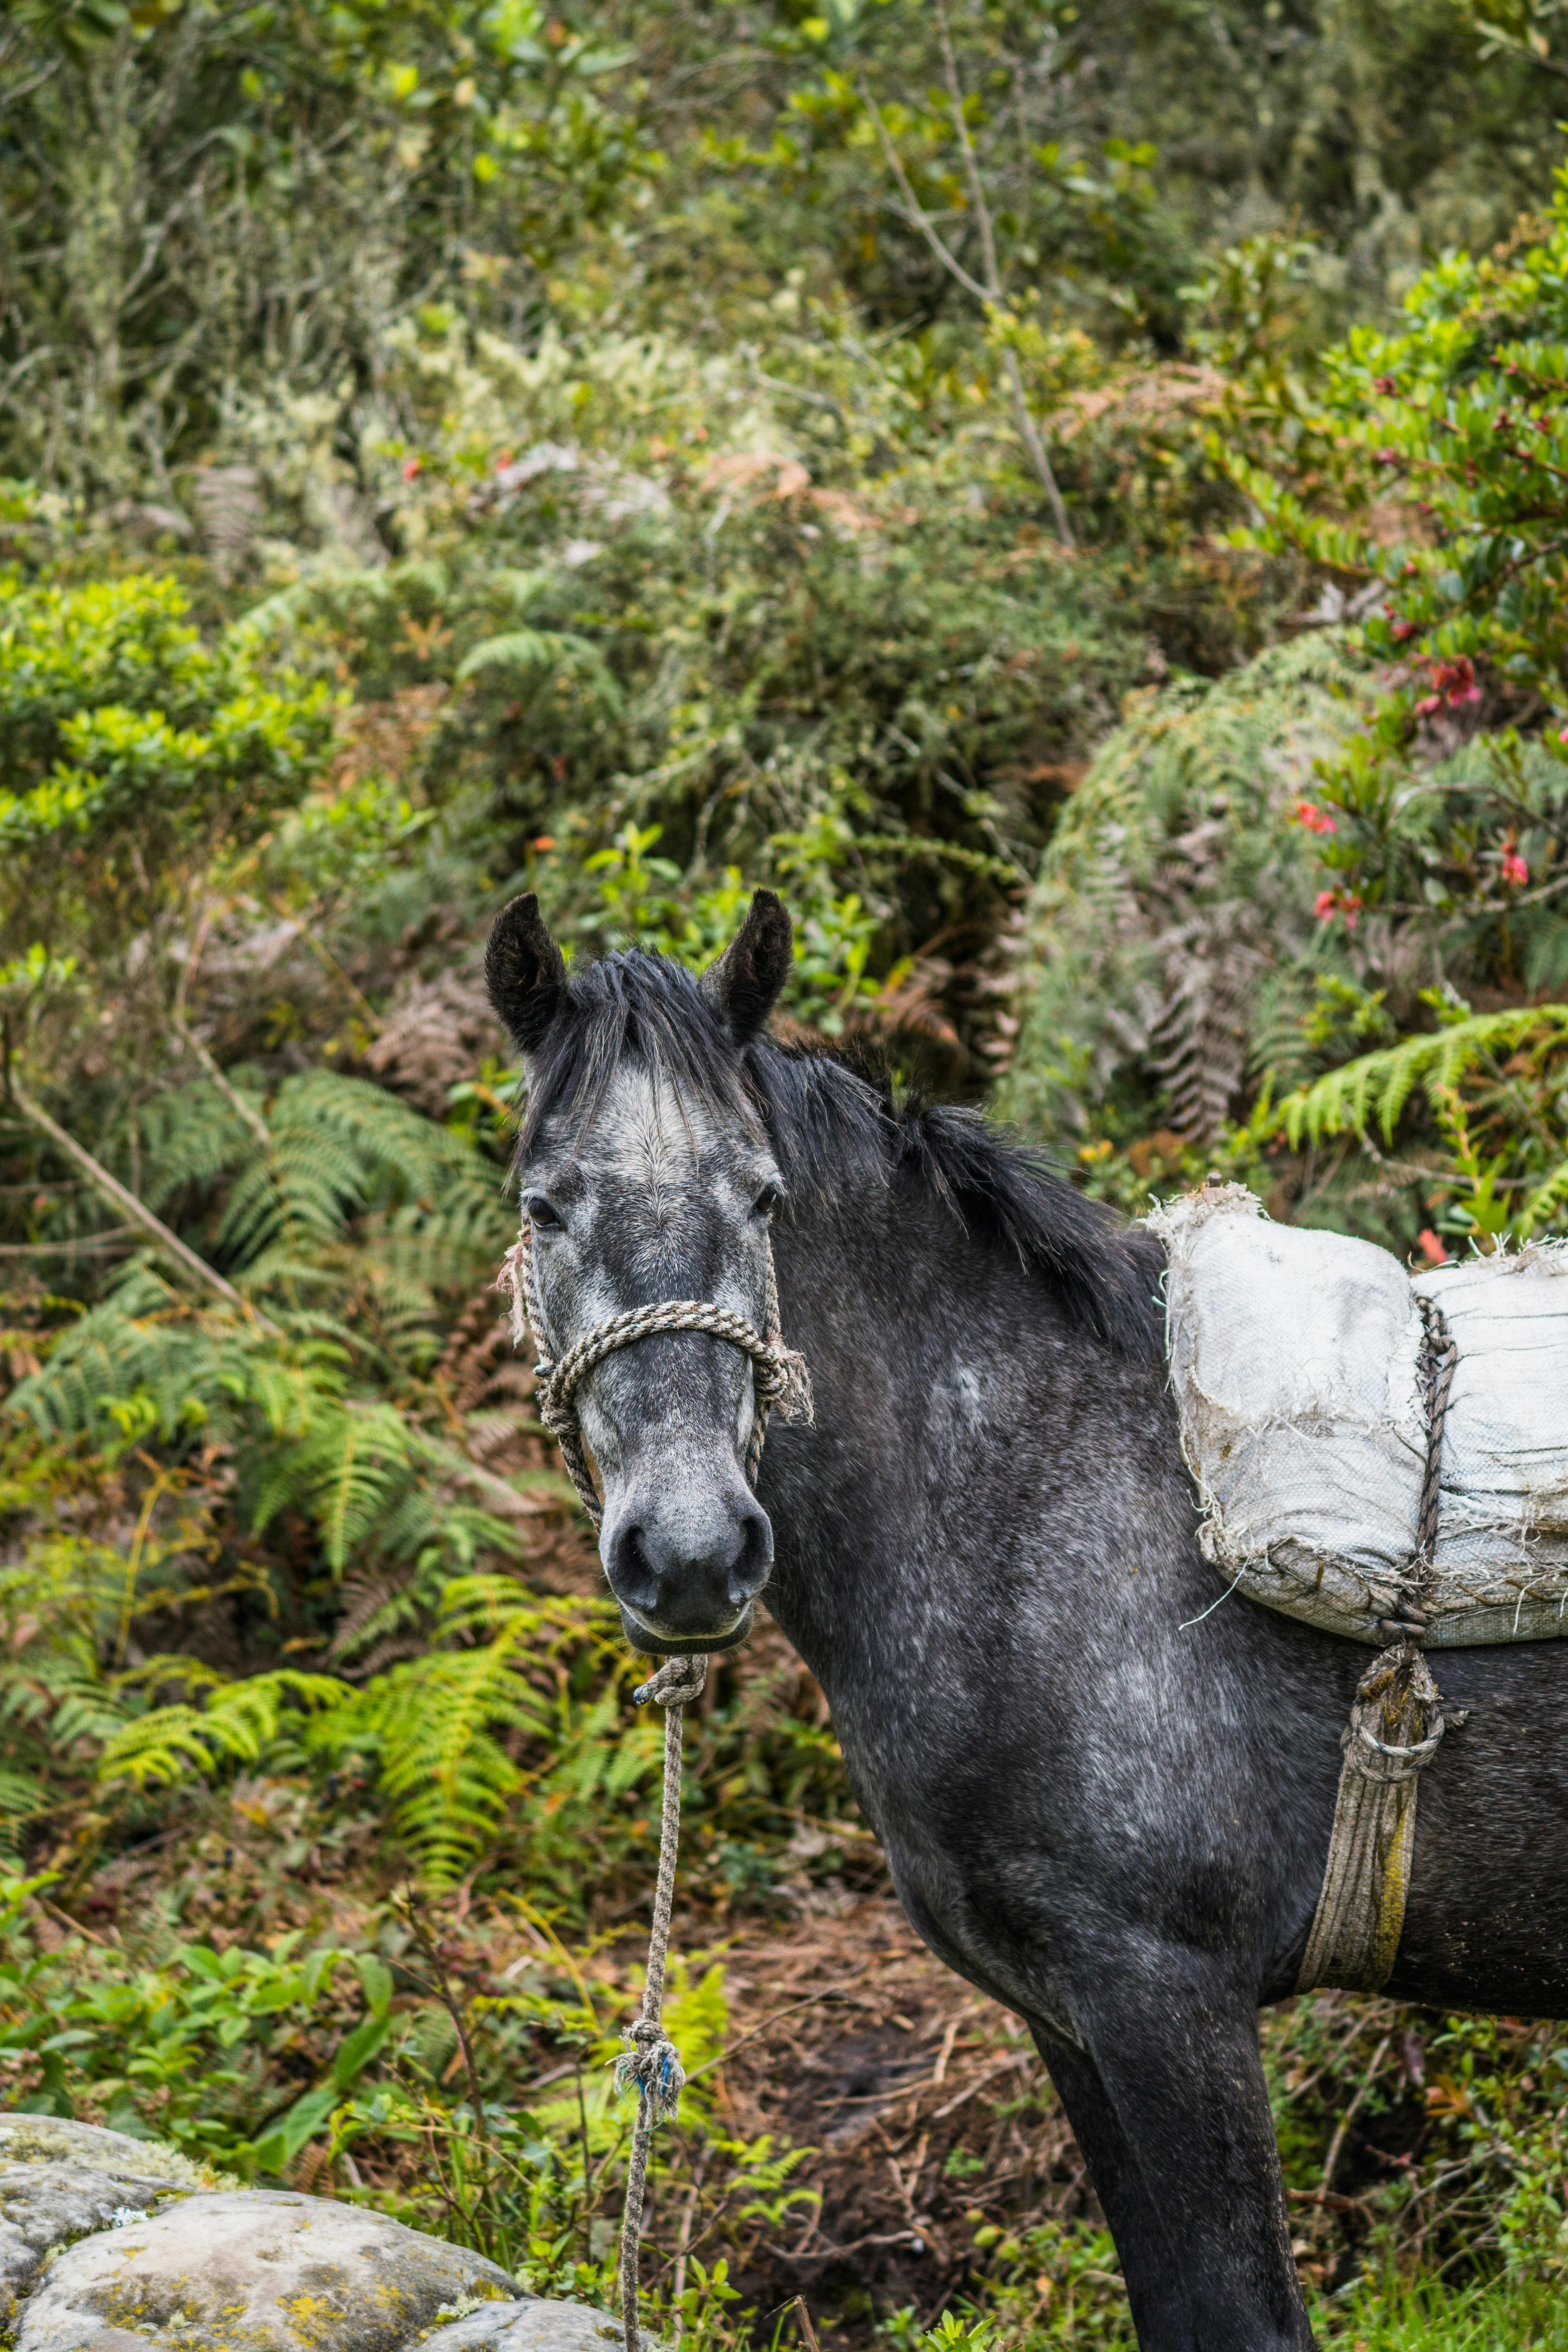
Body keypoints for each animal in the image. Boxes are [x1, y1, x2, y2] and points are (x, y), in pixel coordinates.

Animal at [483, 886, 1568, 2352]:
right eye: (544, 1206)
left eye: (762, 1197)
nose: (695, 1551)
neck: (1031, 1489)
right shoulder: (1075, 2021)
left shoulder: (1166, 2002)